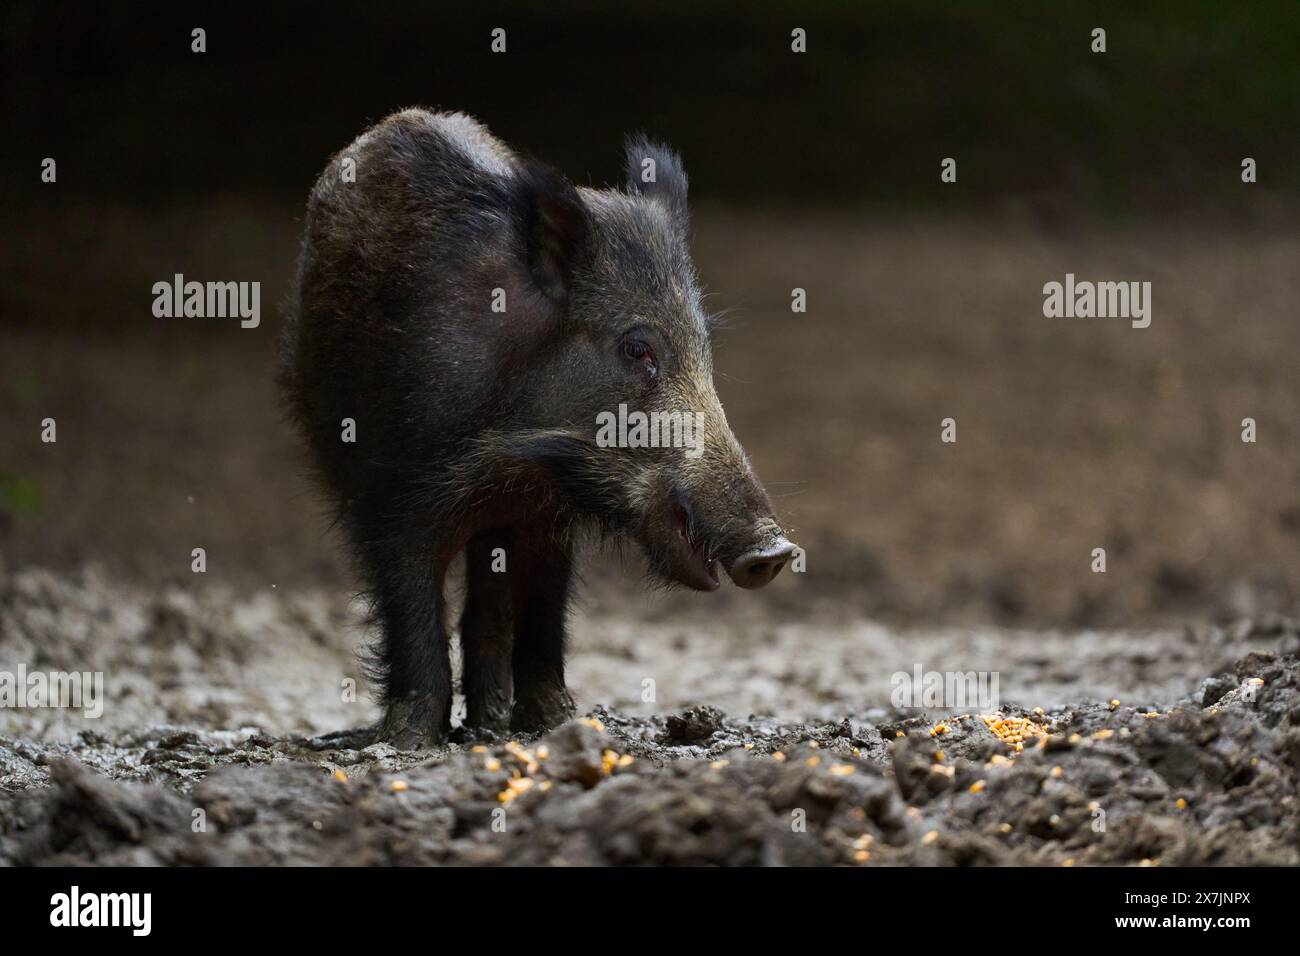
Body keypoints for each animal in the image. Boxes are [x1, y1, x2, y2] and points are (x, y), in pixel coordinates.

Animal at [279, 109, 795, 747]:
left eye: (705, 346)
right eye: (637, 348)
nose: (775, 550)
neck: (513, 459)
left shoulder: (548, 519)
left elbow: (544, 617)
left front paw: (558, 723)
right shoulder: (390, 493)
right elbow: (413, 608)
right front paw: (410, 739)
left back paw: (488, 724)